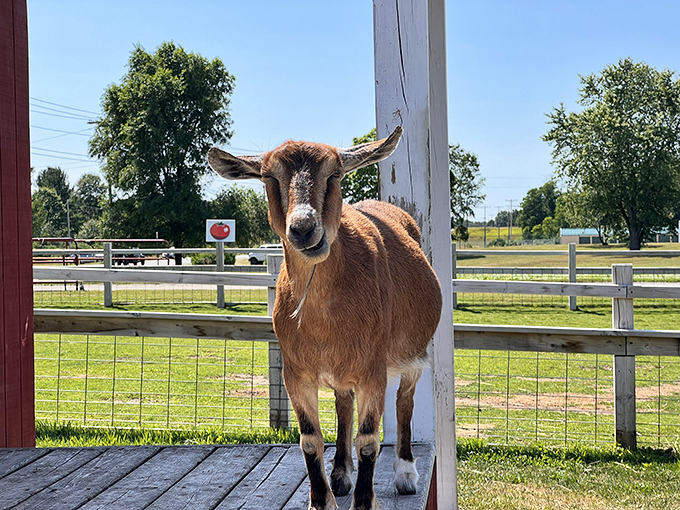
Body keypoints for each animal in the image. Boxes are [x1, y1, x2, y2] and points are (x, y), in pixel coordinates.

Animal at [207, 126, 442, 510]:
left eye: (335, 174)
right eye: (269, 177)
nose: (303, 229)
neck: (323, 320)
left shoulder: (373, 370)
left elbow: (368, 441)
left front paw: (364, 502)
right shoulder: (295, 373)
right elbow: (310, 439)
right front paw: (321, 498)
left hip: (415, 354)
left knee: (404, 402)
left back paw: (406, 474)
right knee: (343, 403)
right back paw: (341, 473)